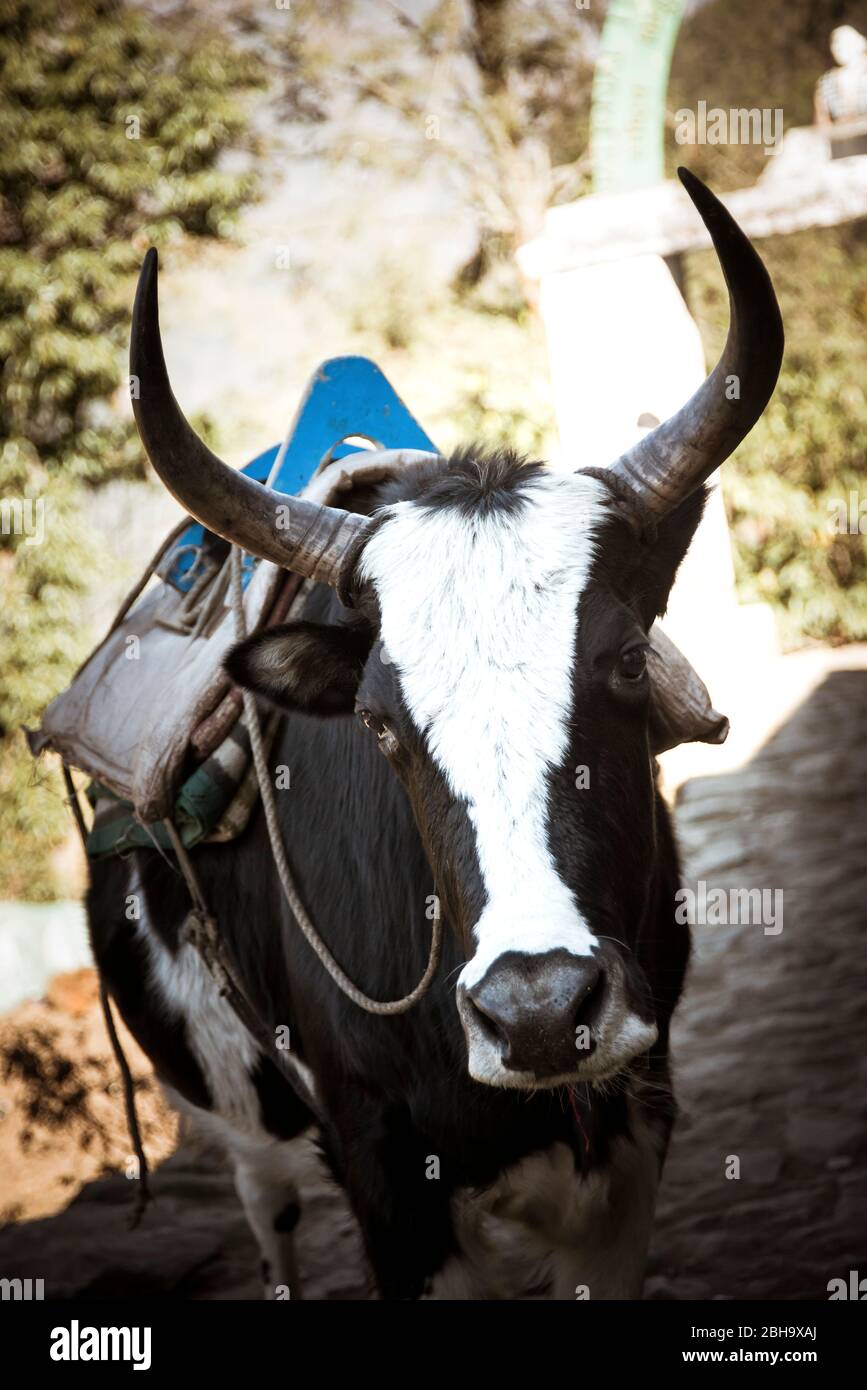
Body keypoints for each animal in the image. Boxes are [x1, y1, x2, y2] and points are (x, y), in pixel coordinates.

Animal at [88, 170, 783, 1300]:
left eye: (630, 663)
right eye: (377, 721)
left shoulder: (633, 1139)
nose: (538, 1009)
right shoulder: (388, 1186)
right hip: (243, 1131)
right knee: (269, 1212)